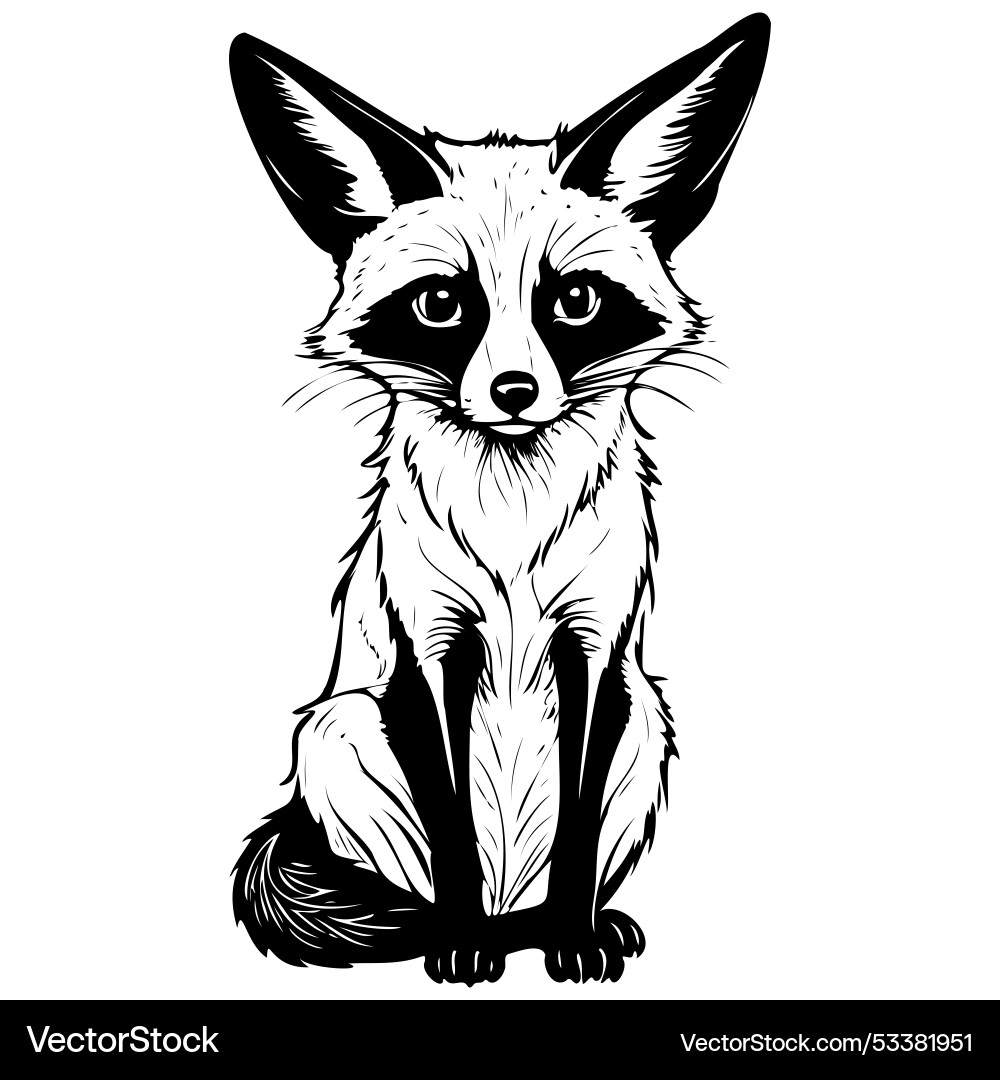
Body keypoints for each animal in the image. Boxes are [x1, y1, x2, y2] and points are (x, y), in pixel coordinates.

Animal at [230, 14, 769, 985]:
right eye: (442, 304)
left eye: (576, 300)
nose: (515, 393)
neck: (512, 526)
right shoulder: (427, 649)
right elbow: (450, 830)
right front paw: (458, 939)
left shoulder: (595, 649)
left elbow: (578, 828)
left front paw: (574, 936)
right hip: (341, 725)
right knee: (421, 881)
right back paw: (475, 929)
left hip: (649, 719)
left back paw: (556, 924)